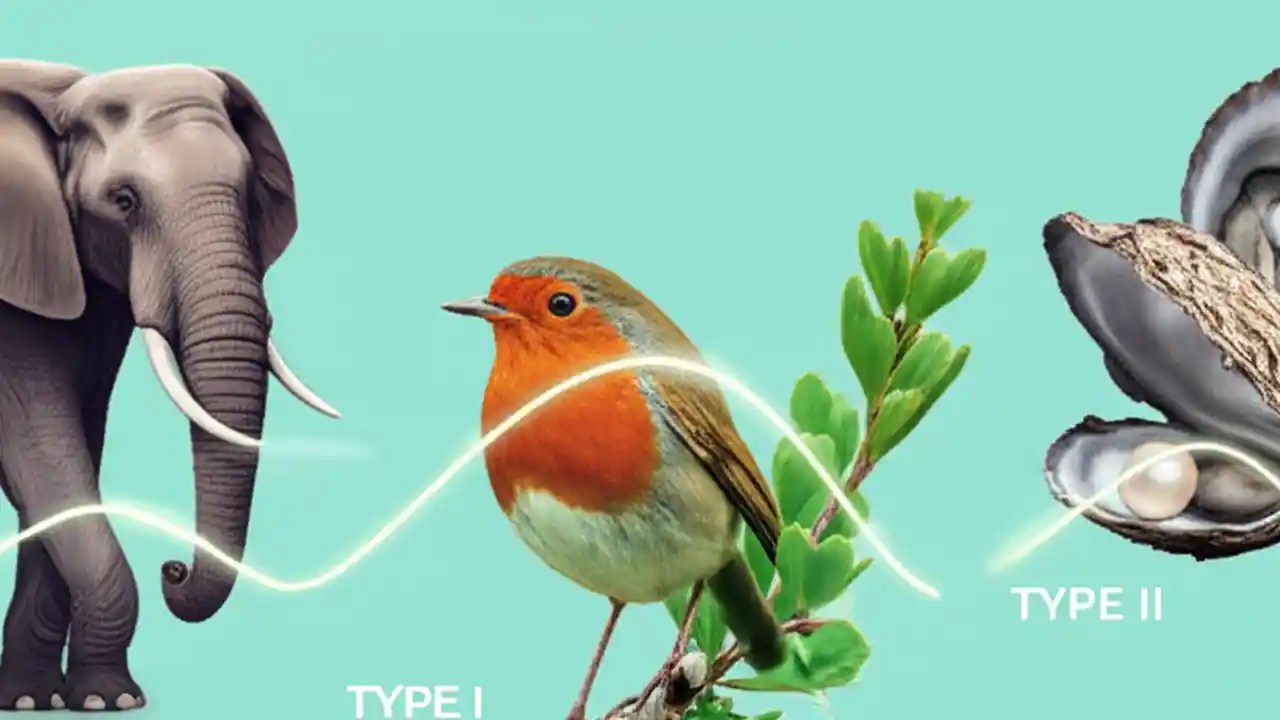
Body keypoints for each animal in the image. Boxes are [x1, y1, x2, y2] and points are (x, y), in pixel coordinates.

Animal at [0, 60, 338, 711]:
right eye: (123, 201)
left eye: (250, 194)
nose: (172, 570)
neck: (57, 97)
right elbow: (40, 441)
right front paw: (99, 701)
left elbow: (70, 451)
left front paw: (56, 699)